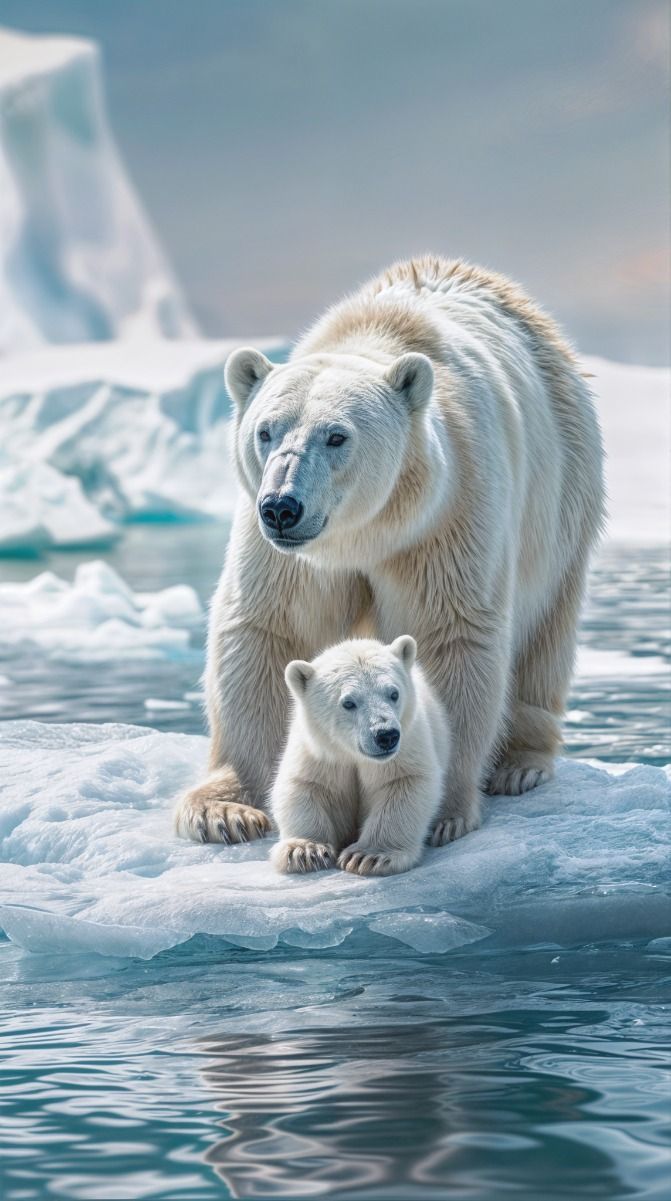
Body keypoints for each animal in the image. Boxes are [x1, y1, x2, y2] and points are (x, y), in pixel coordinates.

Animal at [174, 258, 604, 850]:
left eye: (336, 436)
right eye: (265, 431)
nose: (282, 507)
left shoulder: (445, 515)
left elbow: (450, 633)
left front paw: (441, 809)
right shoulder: (290, 557)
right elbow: (269, 628)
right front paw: (225, 810)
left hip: (564, 491)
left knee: (546, 632)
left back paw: (521, 765)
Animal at [268, 634, 451, 879]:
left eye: (394, 693)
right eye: (348, 702)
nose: (386, 735)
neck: (352, 755)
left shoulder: (408, 745)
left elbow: (405, 783)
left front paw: (368, 856)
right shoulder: (319, 753)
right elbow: (303, 786)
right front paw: (305, 850)